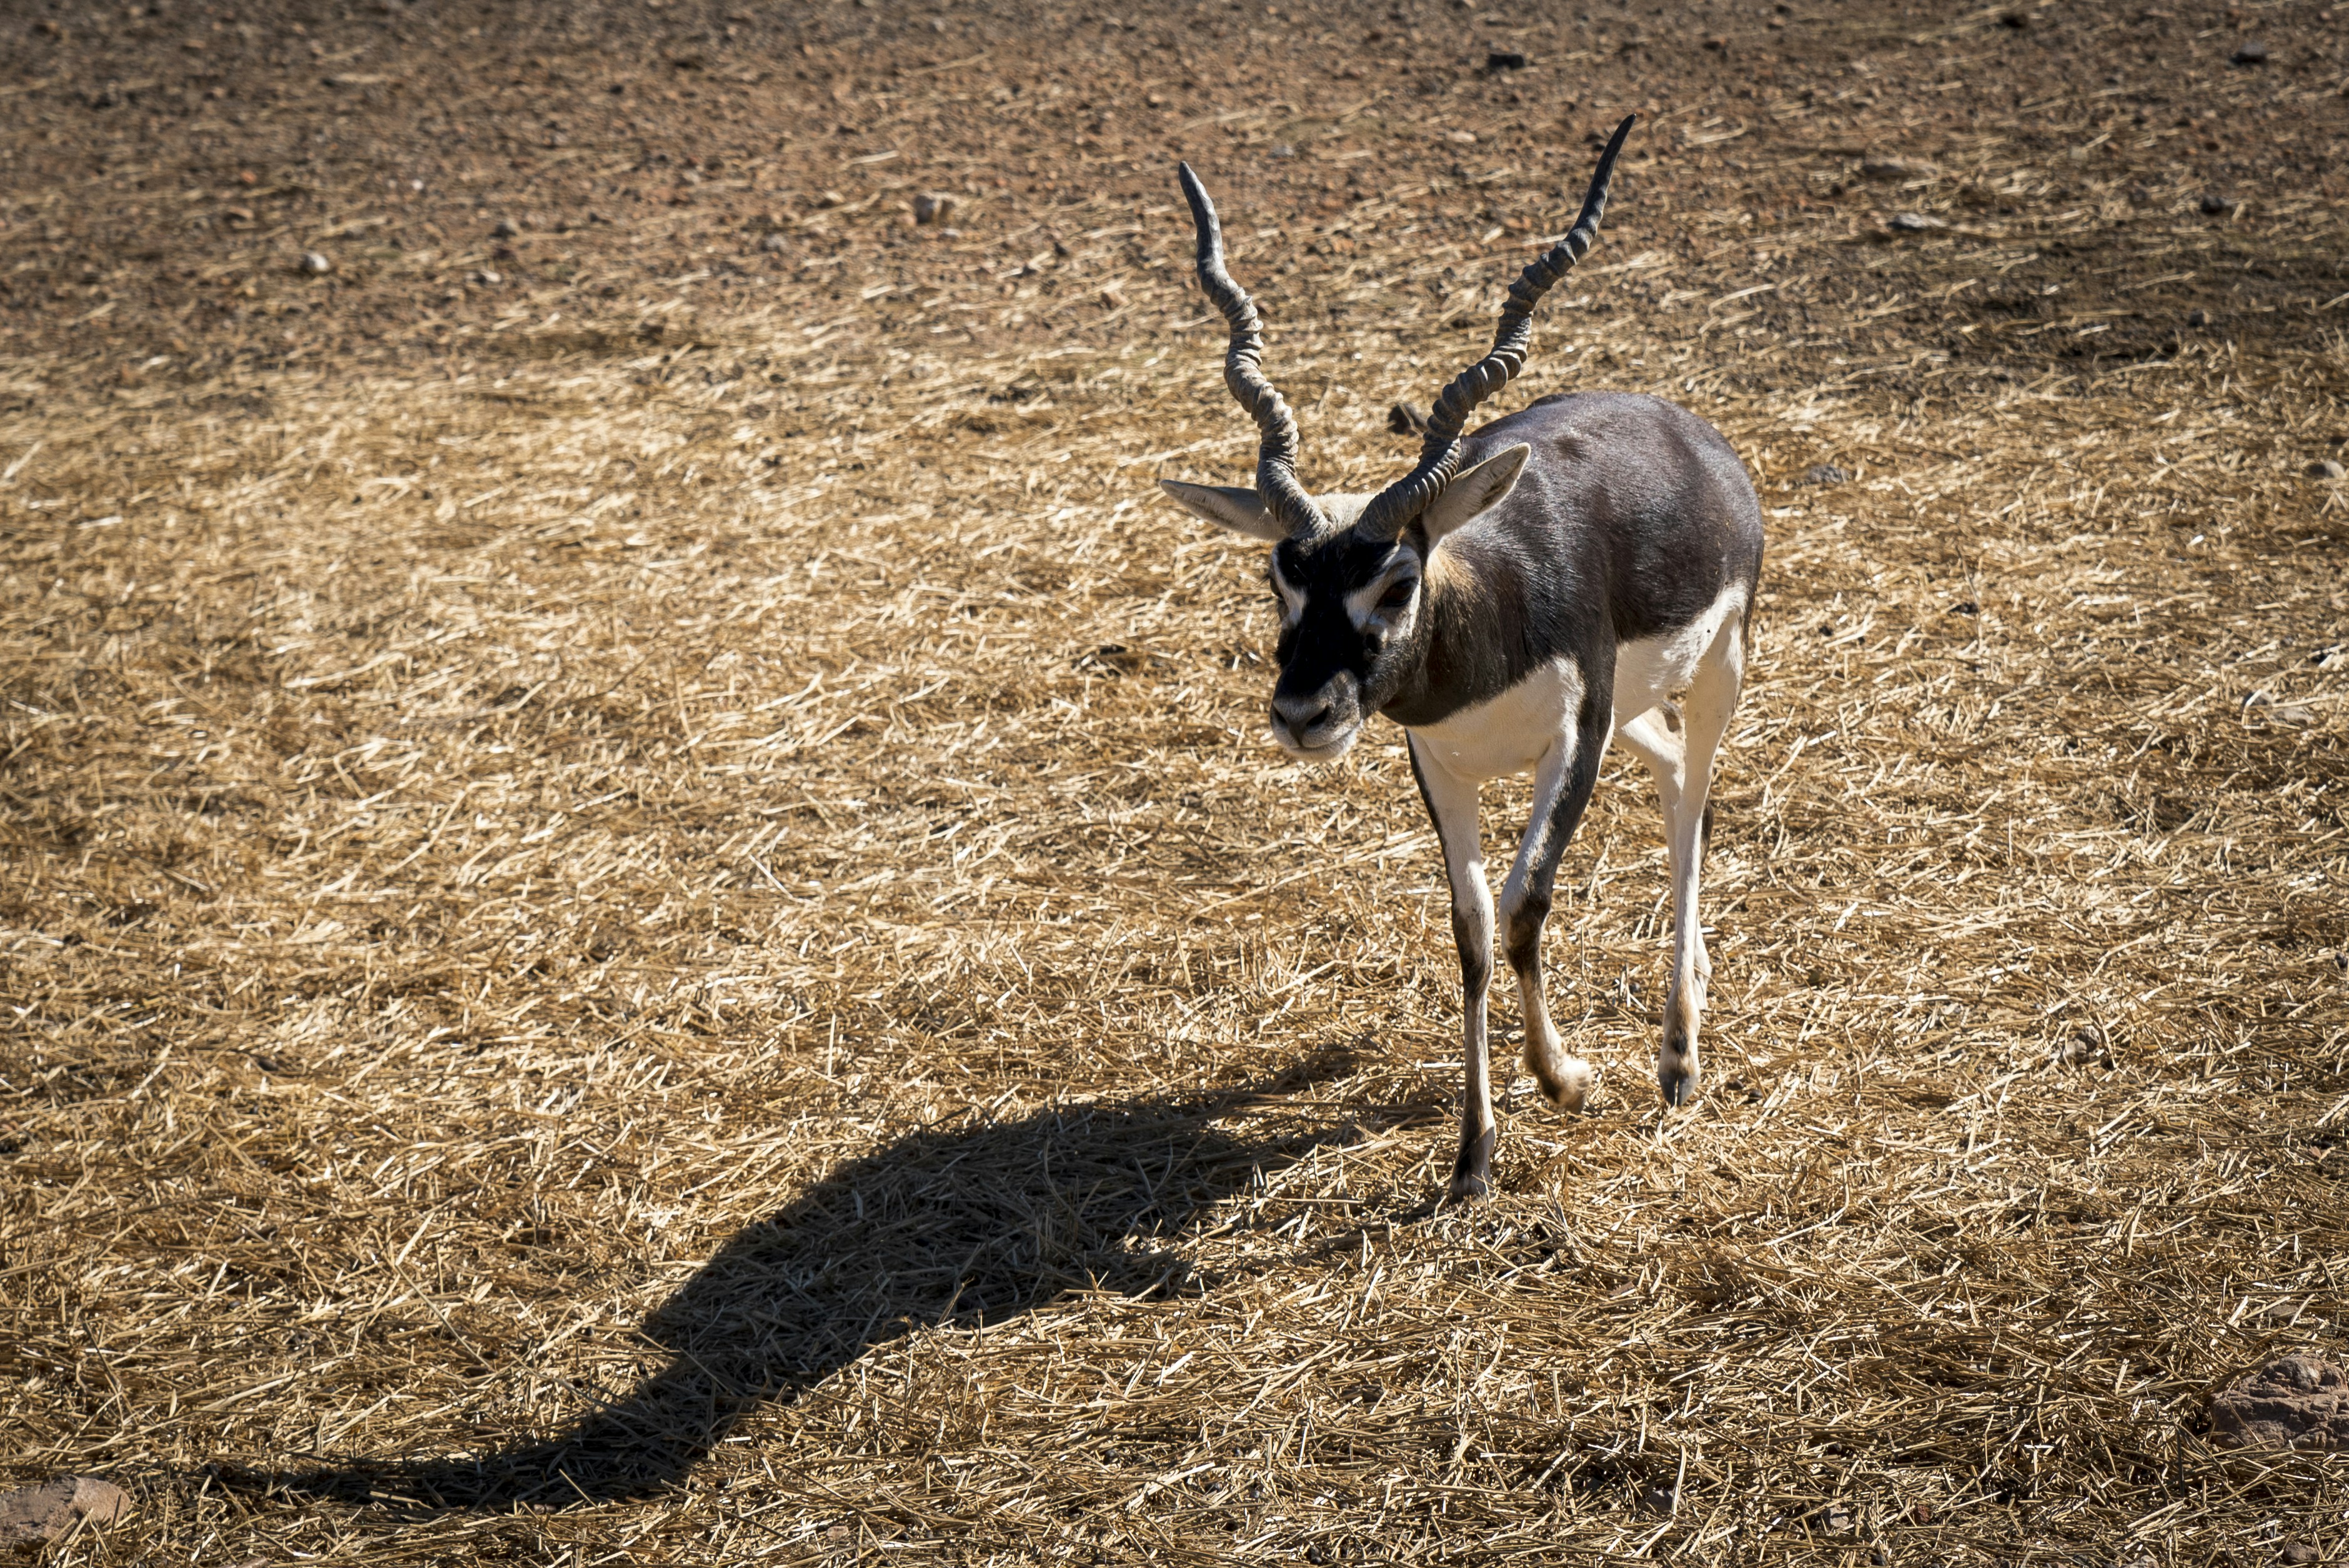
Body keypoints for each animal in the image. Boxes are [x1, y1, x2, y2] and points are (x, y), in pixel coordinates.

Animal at [1159, 119, 1764, 1202]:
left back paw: (1680, 1054)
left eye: (1397, 582)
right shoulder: (1440, 763)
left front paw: (1565, 1079)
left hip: (1719, 671)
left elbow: (1526, 907)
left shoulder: (1575, 738)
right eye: (1278, 578)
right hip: (1637, 707)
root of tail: (1685, 429)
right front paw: (1474, 1153)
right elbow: (1473, 930)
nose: (1303, 713)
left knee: (1697, 790)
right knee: (1668, 775)